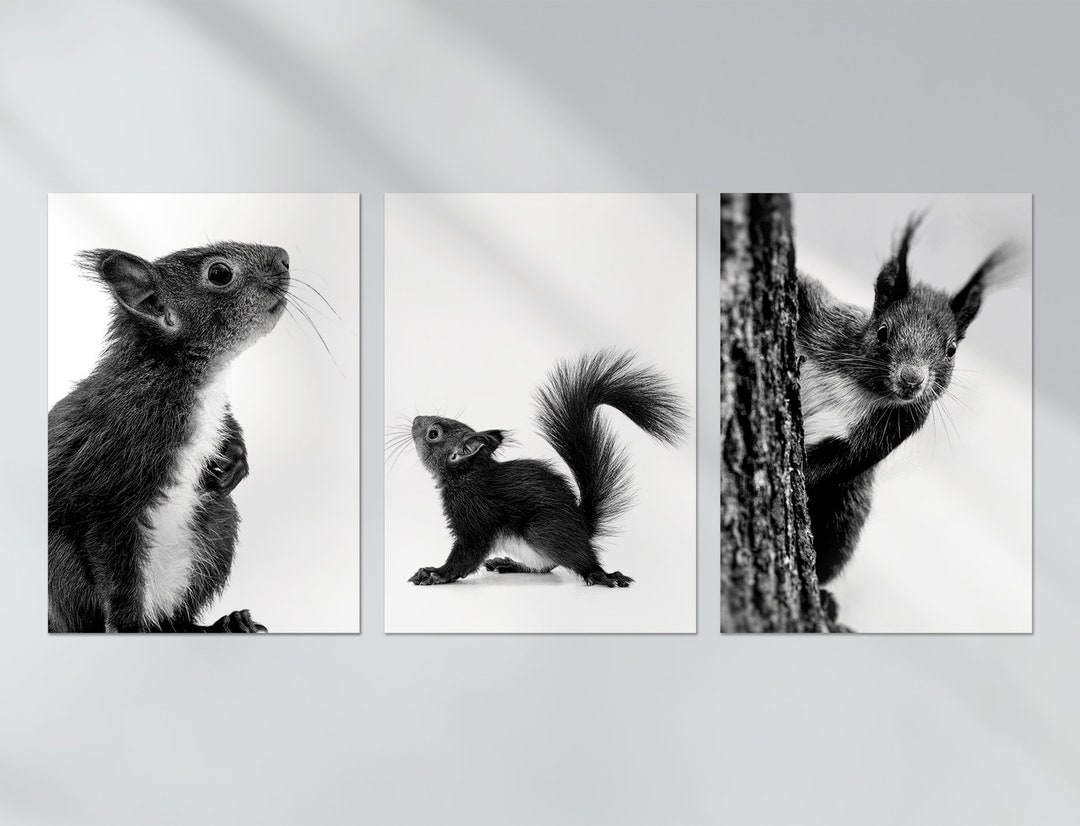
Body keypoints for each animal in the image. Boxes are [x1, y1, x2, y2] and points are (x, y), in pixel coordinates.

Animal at [48, 242, 290, 632]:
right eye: (219, 274)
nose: (285, 257)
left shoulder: (218, 413)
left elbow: (230, 426)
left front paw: (236, 461)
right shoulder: (109, 488)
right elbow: (114, 571)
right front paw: (125, 628)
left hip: (217, 525)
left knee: (178, 619)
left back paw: (223, 625)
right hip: (60, 562)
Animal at [404, 350, 688, 587]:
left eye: (433, 433)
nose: (416, 419)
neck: (468, 475)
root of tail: (583, 528)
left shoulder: (476, 516)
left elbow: (466, 555)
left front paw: (436, 573)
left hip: (545, 531)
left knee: (580, 560)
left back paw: (601, 574)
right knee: (545, 566)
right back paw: (509, 564)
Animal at [797, 212, 1017, 585]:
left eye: (951, 349)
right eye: (883, 331)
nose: (912, 380)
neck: (866, 384)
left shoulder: (902, 421)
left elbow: (844, 461)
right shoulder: (825, 321)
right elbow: (806, 292)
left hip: (849, 510)